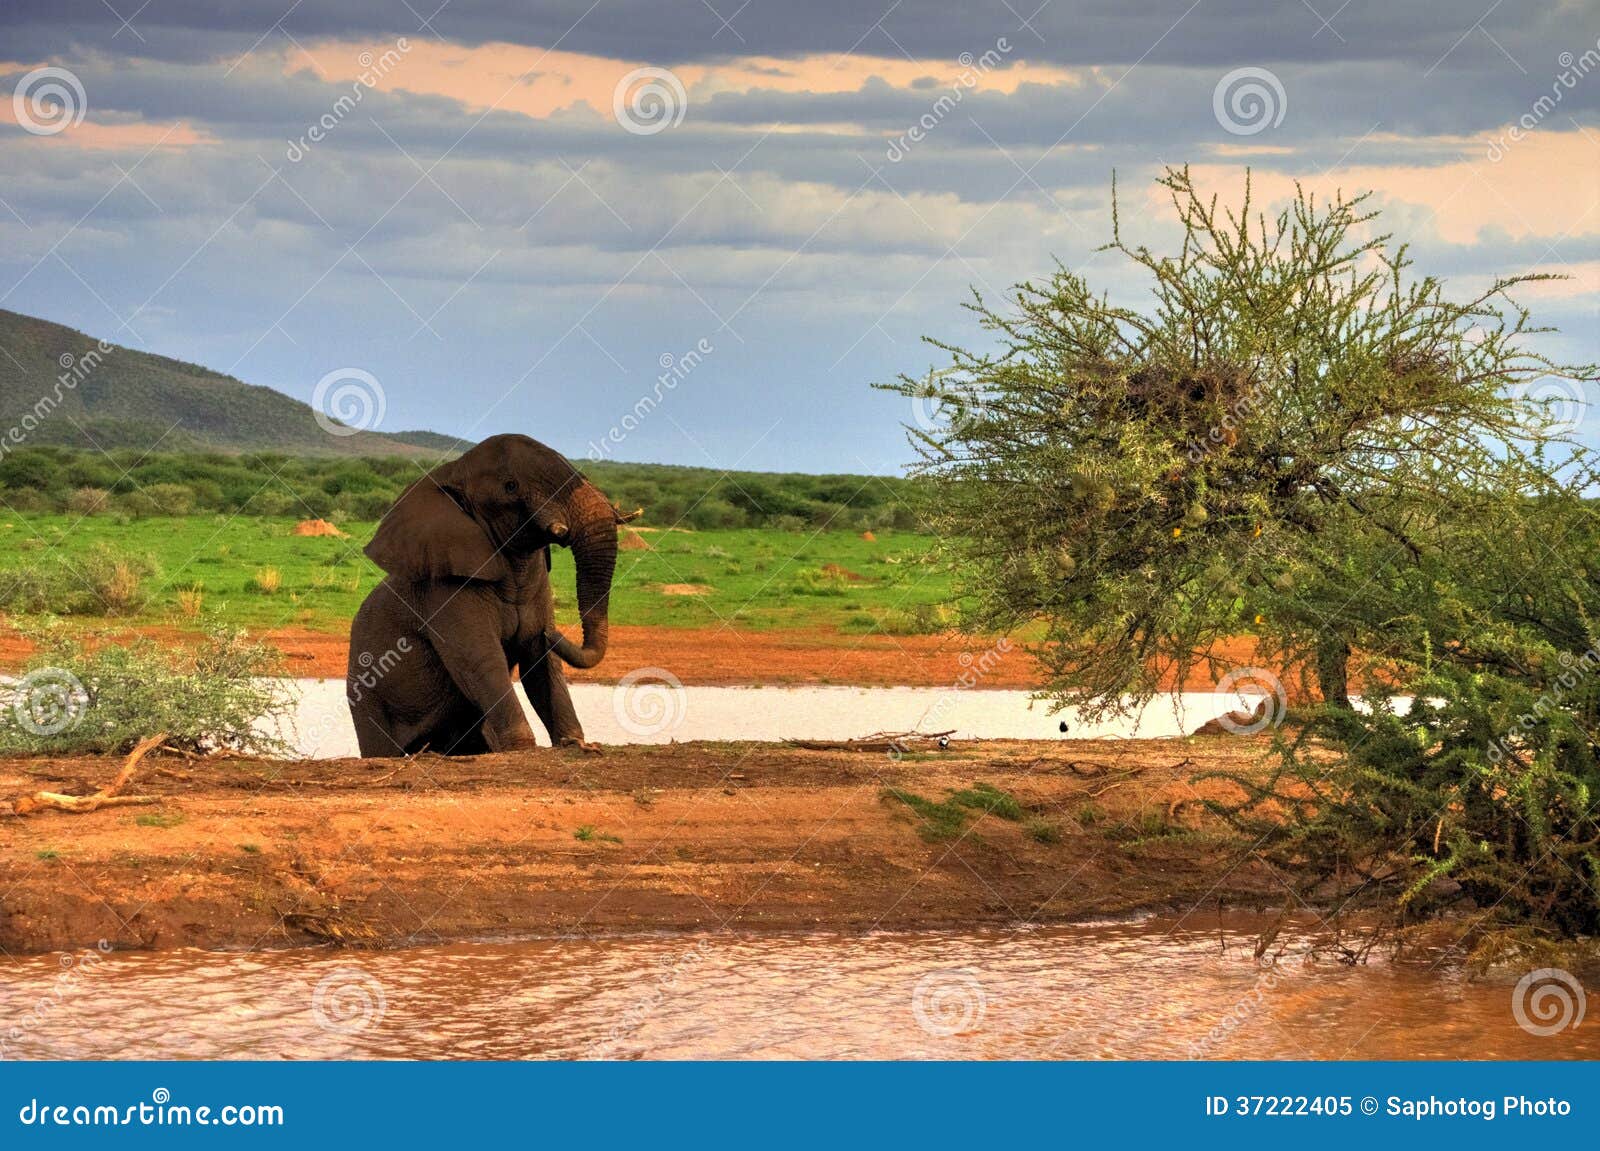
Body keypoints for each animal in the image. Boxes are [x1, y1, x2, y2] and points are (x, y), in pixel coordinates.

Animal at [345, 434, 635, 757]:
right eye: (510, 486)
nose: (554, 633)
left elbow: (540, 662)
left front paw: (575, 744)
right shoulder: (444, 590)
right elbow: (481, 659)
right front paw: (521, 748)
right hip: (366, 696)